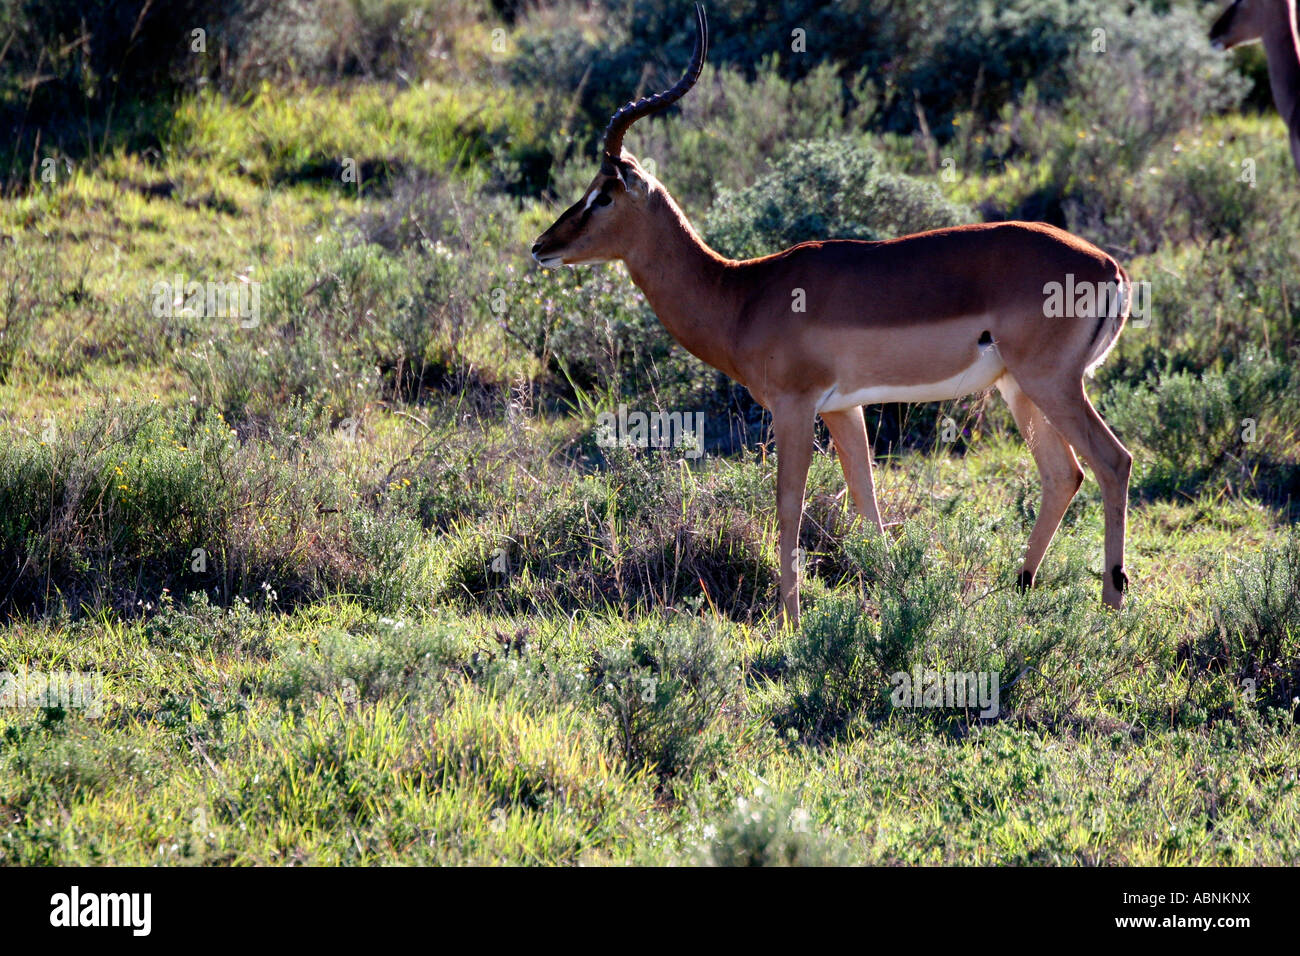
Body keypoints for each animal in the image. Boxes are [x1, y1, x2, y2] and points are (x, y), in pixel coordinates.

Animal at [531, 4, 1133, 628]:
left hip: (1051, 383)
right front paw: (887, 599)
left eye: (603, 193)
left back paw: (1111, 603)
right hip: (1018, 387)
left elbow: (788, 507)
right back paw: (1020, 587)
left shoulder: (795, 406)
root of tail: (1110, 268)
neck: (743, 294)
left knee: (1113, 462)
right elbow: (867, 504)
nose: (541, 245)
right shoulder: (846, 409)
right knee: (1063, 473)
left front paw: (790, 623)